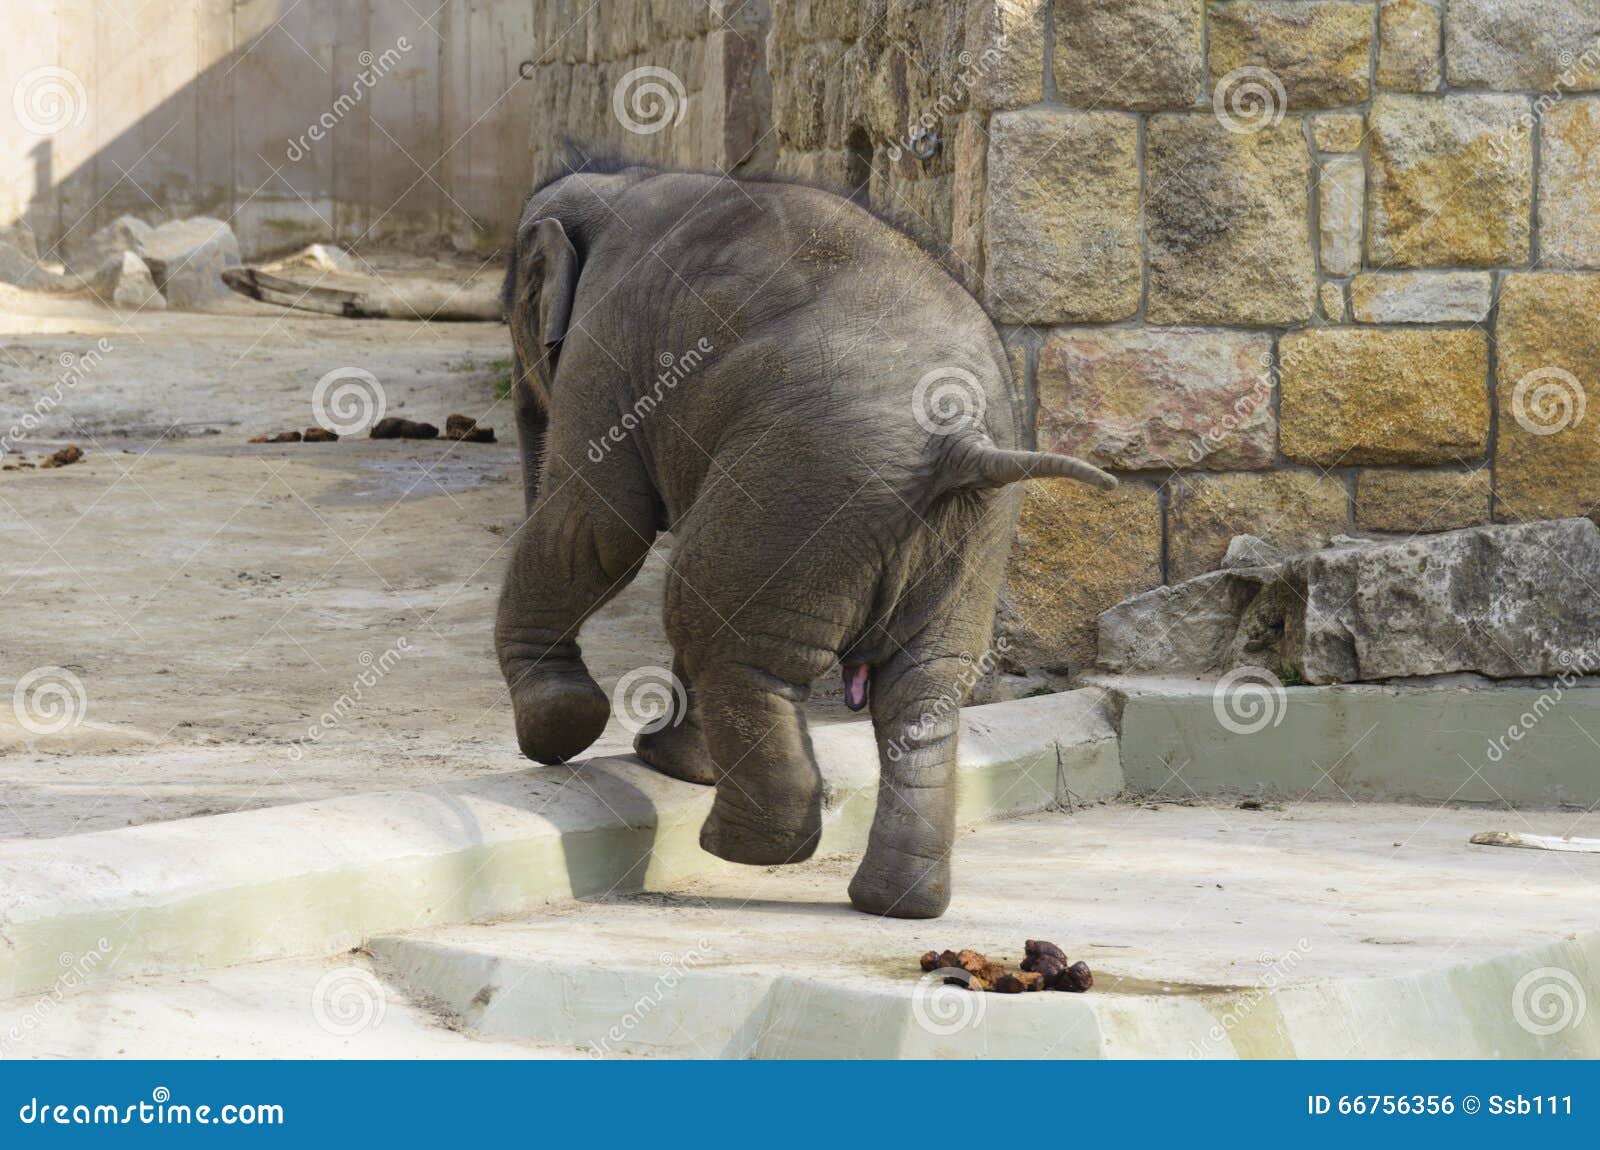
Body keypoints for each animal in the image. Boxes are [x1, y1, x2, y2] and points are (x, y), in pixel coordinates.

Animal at [497, 154, 1115, 919]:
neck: (619, 180)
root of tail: (963, 443)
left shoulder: (604, 343)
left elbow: (598, 524)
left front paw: (563, 731)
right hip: (962, 530)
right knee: (923, 689)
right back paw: (895, 903)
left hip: (804, 482)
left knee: (716, 624)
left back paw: (738, 845)